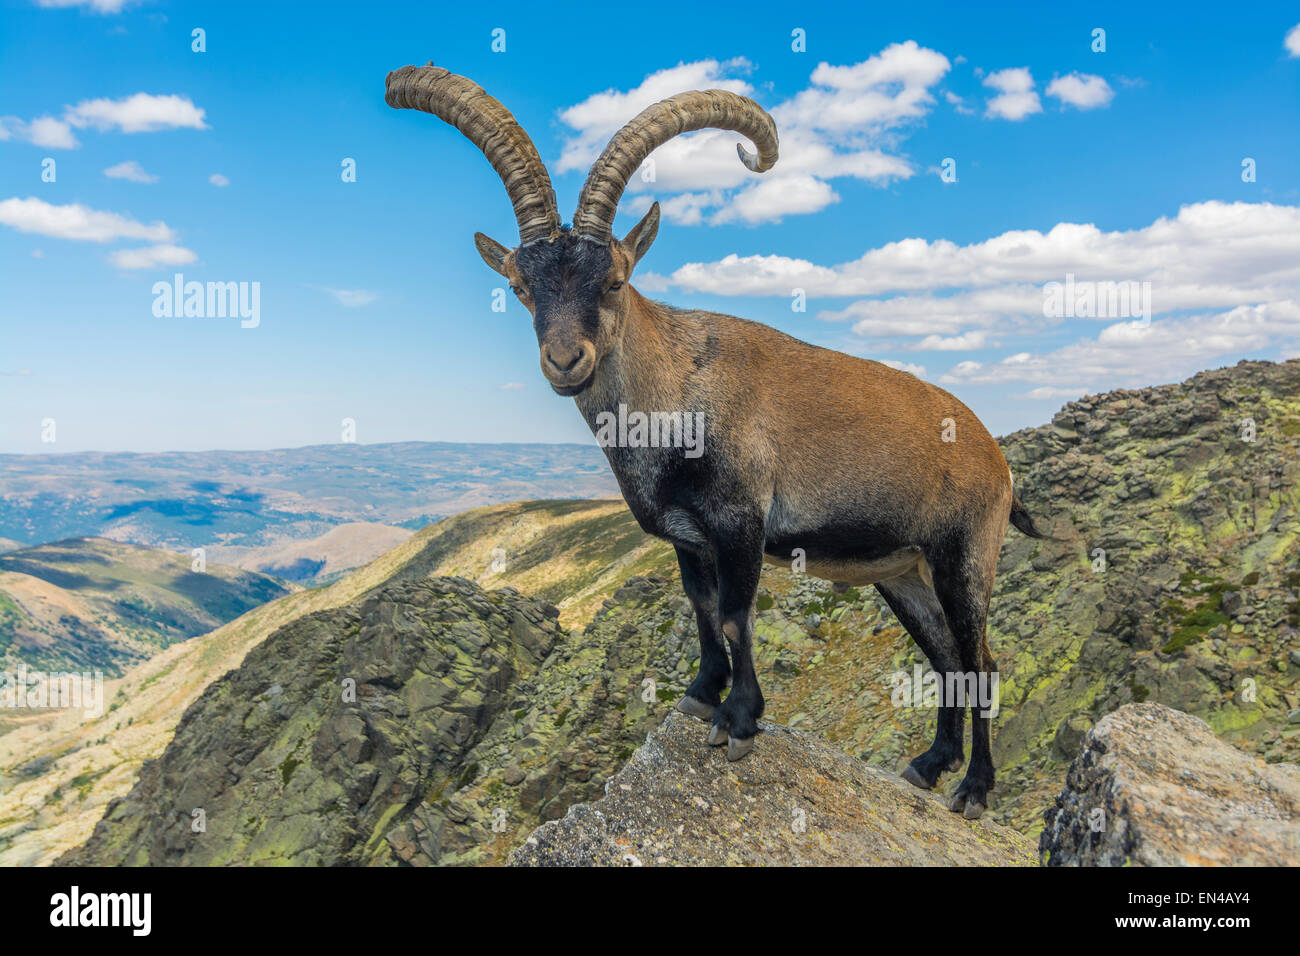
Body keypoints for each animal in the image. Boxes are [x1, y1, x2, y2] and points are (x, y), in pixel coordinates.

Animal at [386, 64, 1045, 819]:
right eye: (523, 288)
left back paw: (974, 786)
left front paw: (740, 721)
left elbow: (734, 616)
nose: (565, 361)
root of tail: (994, 455)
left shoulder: (741, 524)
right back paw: (929, 765)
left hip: (963, 556)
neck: (674, 396)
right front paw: (702, 697)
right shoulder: (688, 538)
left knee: (982, 660)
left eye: (615, 280)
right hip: (903, 572)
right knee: (945, 658)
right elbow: (702, 614)